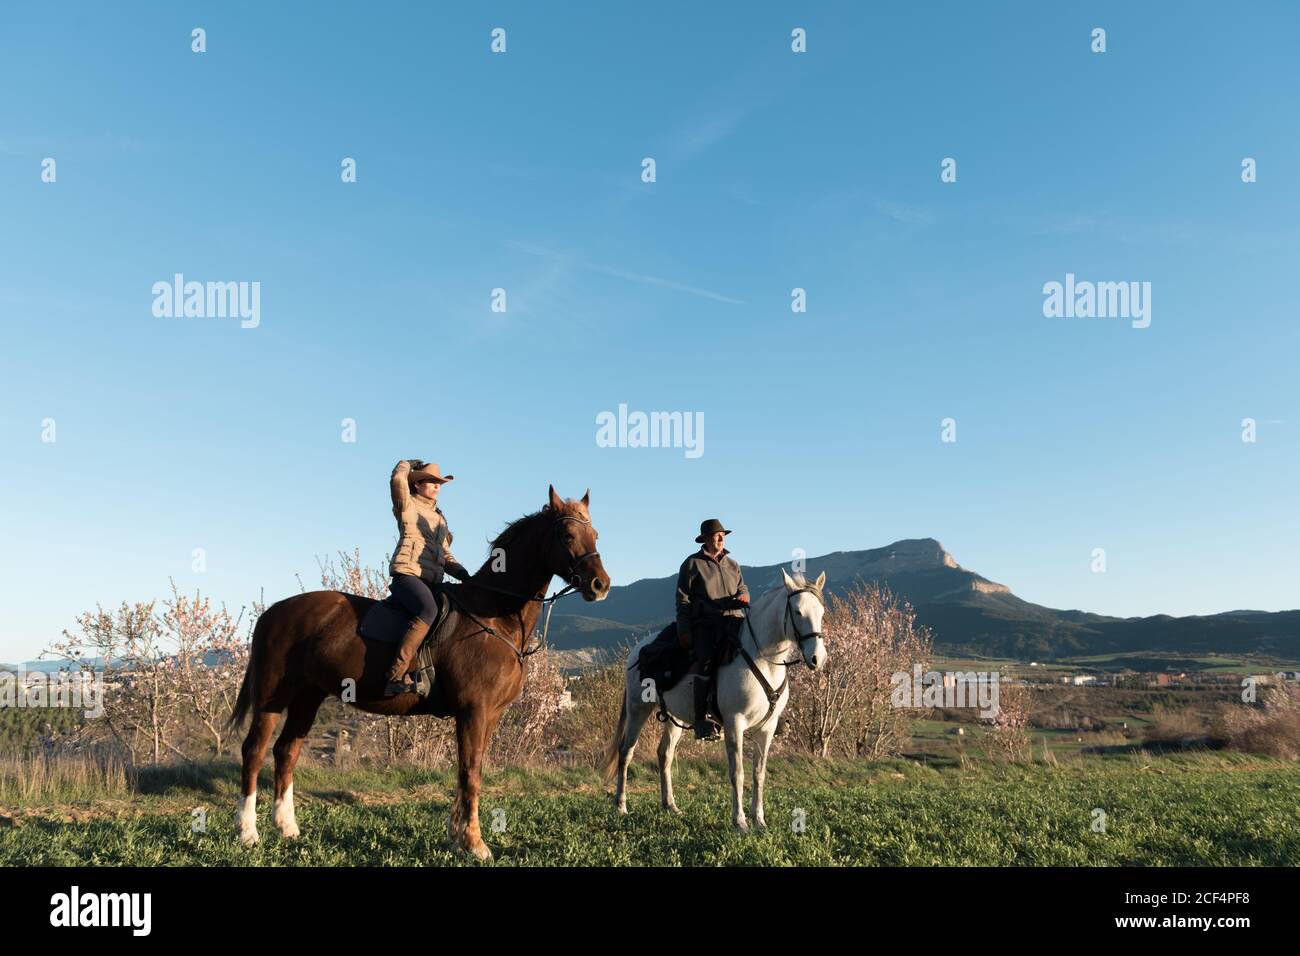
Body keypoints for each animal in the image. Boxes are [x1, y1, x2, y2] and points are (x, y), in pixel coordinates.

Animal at [228, 485, 610, 860]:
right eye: (567, 534)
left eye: (595, 534)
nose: (600, 585)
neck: (493, 615)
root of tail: (274, 611)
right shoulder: (473, 711)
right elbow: (471, 772)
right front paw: (475, 844)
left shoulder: (489, 715)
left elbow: (466, 771)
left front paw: (457, 837)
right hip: (272, 697)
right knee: (254, 751)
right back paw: (248, 833)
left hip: (308, 697)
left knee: (286, 752)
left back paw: (287, 828)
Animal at [603, 568, 826, 831]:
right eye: (798, 611)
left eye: (821, 612)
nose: (817, 658)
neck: (762, 659)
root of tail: (638, 650)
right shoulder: (734, 723)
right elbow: (737, 772)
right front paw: (740, 822)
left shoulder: (767, 728)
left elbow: (758, 773)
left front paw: (759, 820)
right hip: (638, 709)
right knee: (626, 751)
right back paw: (620, 806)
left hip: (675, 717)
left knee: (664, 753)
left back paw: (670, 806)